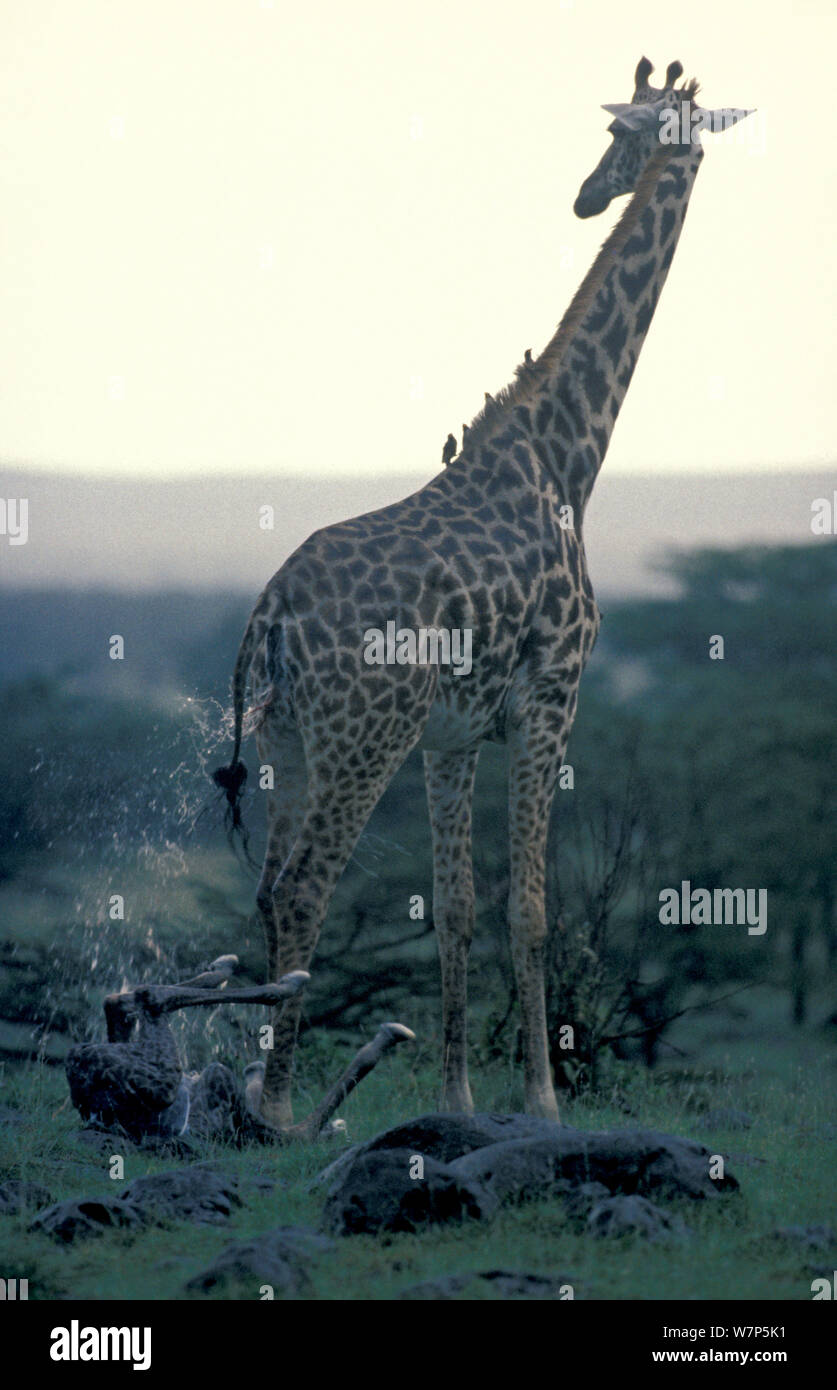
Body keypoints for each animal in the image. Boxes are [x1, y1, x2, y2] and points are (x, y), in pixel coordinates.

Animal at [214, 58, 752, 1133]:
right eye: (623, 131)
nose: (588, 194)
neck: (570, 455)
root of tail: (271, 614)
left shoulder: (454, 735)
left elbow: (457, 907)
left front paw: (458, 1096)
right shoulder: (551, 699)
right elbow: (531, 909)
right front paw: (541, 1099)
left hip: (294, 739)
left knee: (267, 889)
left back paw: (262, 1090)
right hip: (361, 738)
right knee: (304, 890)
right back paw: (282, 1107)